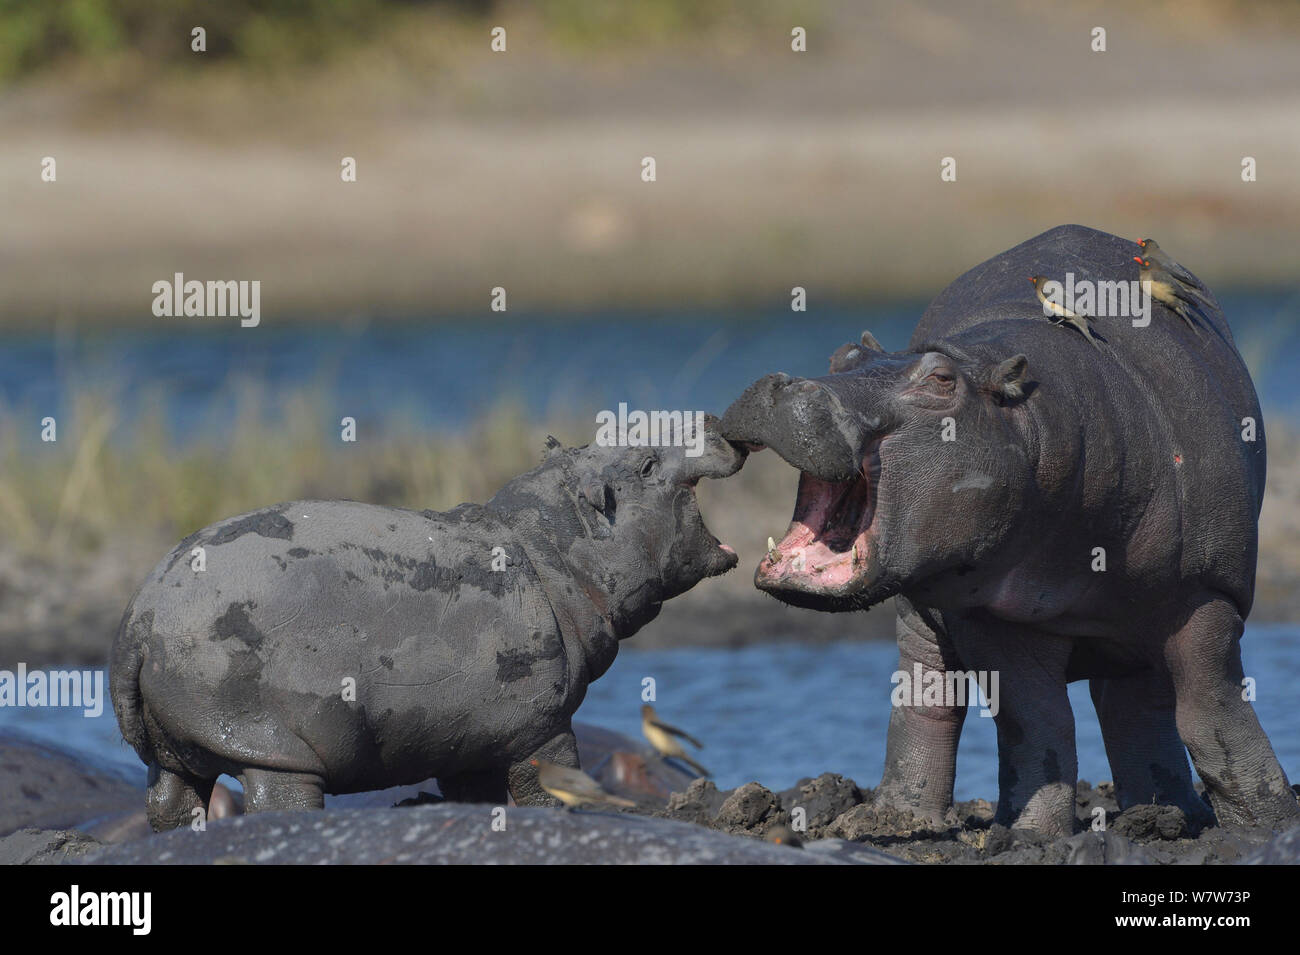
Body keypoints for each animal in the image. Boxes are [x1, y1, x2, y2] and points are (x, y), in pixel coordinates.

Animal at [110, 417, 744, 831]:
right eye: (646, 463)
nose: (710, 418)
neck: (555, 549)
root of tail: (139, 621)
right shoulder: (542, 726)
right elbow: (552, 781)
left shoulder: (469, 739)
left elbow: (479, 796)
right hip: (272, 746)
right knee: (276, 800)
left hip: (170, 754)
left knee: (170, 803)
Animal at [722, 224, 1299, 835]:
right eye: (842, 355)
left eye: (941, 380)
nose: (787, 385)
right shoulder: (990, 613)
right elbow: (1037, 722)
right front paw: (1032, 835)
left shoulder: (1207, 592)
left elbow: (1213, 714)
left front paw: (1268, 821)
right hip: (925, 615)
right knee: (926, 698)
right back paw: (897, 820)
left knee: (1136, 705)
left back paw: (1167, 812)